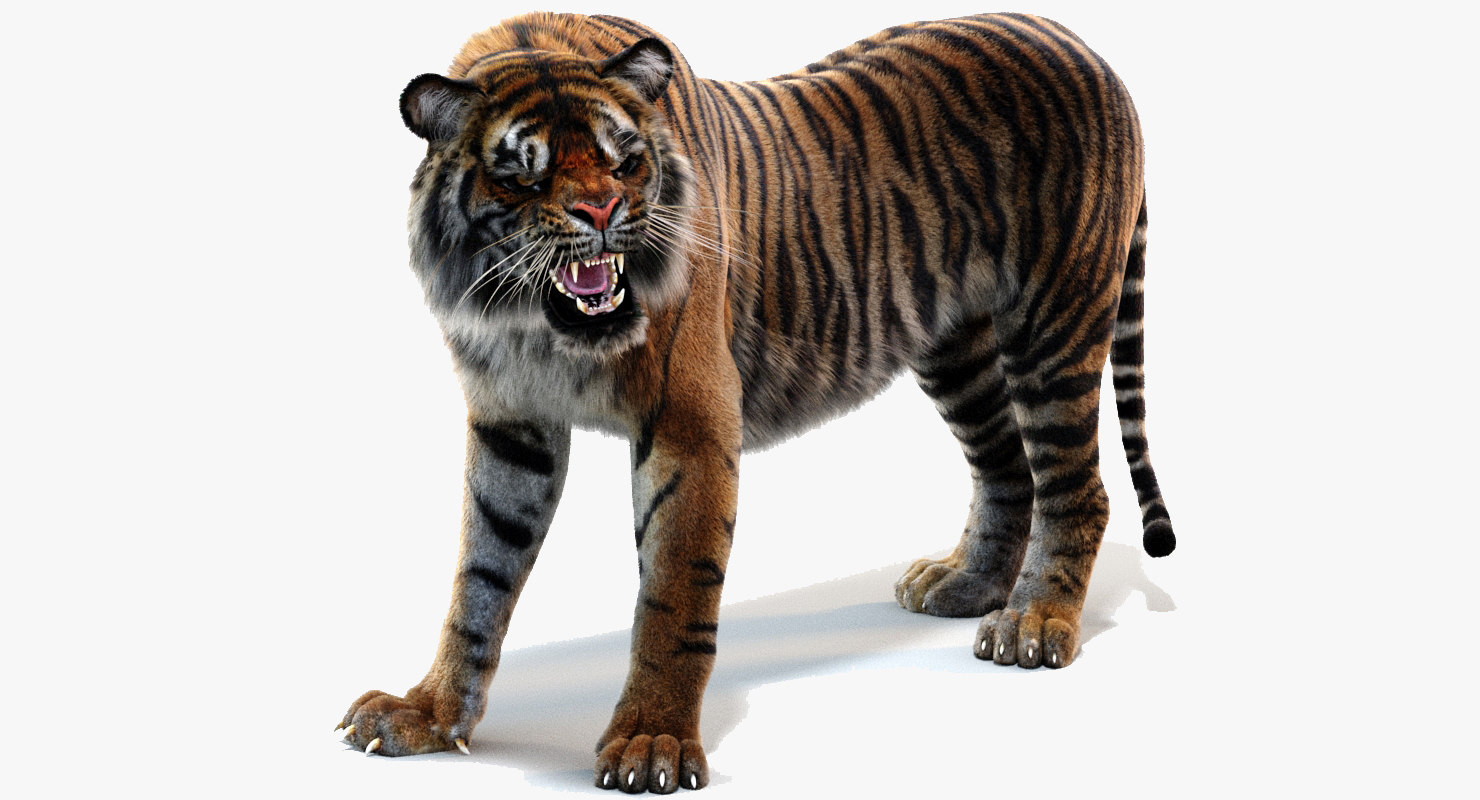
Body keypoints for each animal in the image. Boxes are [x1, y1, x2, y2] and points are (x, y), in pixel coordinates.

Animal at [336, 11, 1176, 793]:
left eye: (624, 162)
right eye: (523, 176)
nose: (602, 214)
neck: (530, 326)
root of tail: (1075, 40)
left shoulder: (690, 421)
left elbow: (674, 594)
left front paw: (651, 744)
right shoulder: (511, 423)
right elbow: (479, 579)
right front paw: (429, 714)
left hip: (1053, 322)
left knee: (1078, 487)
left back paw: (1034, 624)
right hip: (954, 345)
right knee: (1007, 469)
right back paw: (965, 586)